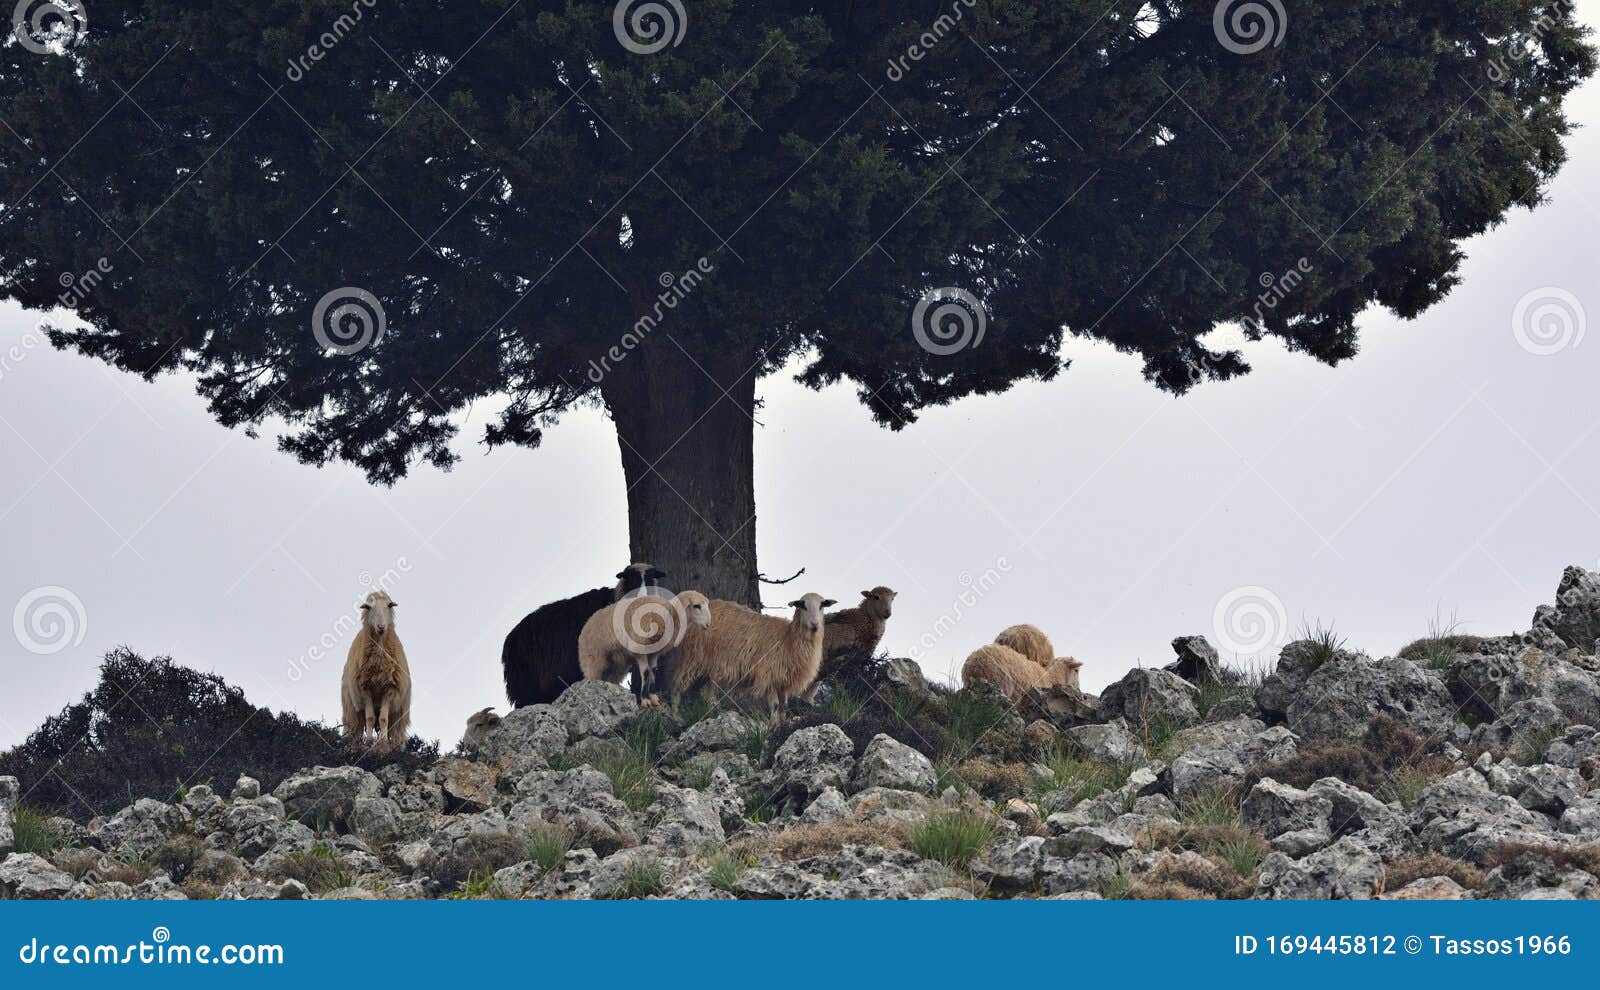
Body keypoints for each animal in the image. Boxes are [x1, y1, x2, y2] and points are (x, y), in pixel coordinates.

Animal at [340, 591, 412, 752]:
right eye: (368, 607)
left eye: (389, 605)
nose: (381, 627)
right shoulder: (364, 689)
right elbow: (370, 718)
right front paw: (368, 742)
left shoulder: (390, 689)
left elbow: (383, 719)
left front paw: (383, 744)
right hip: (351, 708)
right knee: (355, 728)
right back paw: (353, 747)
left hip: (400, 711)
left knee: (397, 730)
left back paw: (398, 748)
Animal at [579, 590, 711, 706]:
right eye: (696, 606)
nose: (708, 624)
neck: (667, 615)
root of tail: (587, 622)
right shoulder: (639, 649)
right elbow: (646, 673)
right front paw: (645, 700)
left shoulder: (654, 652)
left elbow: (653, 671)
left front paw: (654, 698)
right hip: (593, 659)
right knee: (590, 679)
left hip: (617, 665)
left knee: (610, 680)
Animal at [671, 593, 837, 719]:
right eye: (803, 605)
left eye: (822, 605)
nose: (815, 624)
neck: (788, 638)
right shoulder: (768, 676)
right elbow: (775, 706)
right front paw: (773, 728)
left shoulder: (783, 681)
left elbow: (783, 707)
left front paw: (782, 724)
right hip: (691, 657)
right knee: (677, 686)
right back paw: (675, 715)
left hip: (710, 665)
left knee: (707, 692)